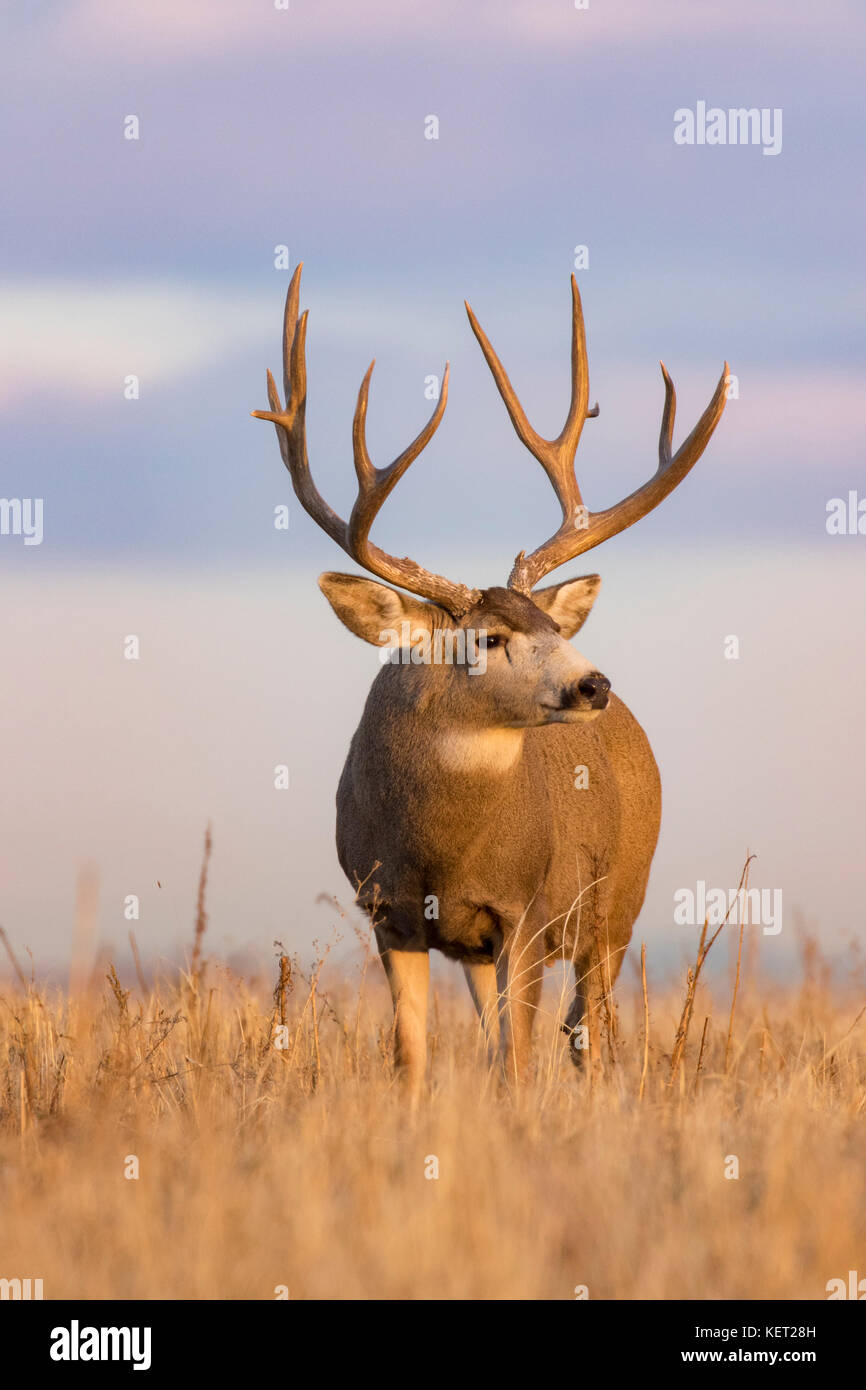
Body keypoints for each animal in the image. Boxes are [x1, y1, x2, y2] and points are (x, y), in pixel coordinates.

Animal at [253, 264, 728, 1099]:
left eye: (551, 627)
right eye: (489, 637)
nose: (593, 684)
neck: (444, 848)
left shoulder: (527, 913)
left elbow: (518, 1057)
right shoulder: (388, 913)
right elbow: (414, 1057)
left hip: (617, 905)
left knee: (588, 1030)